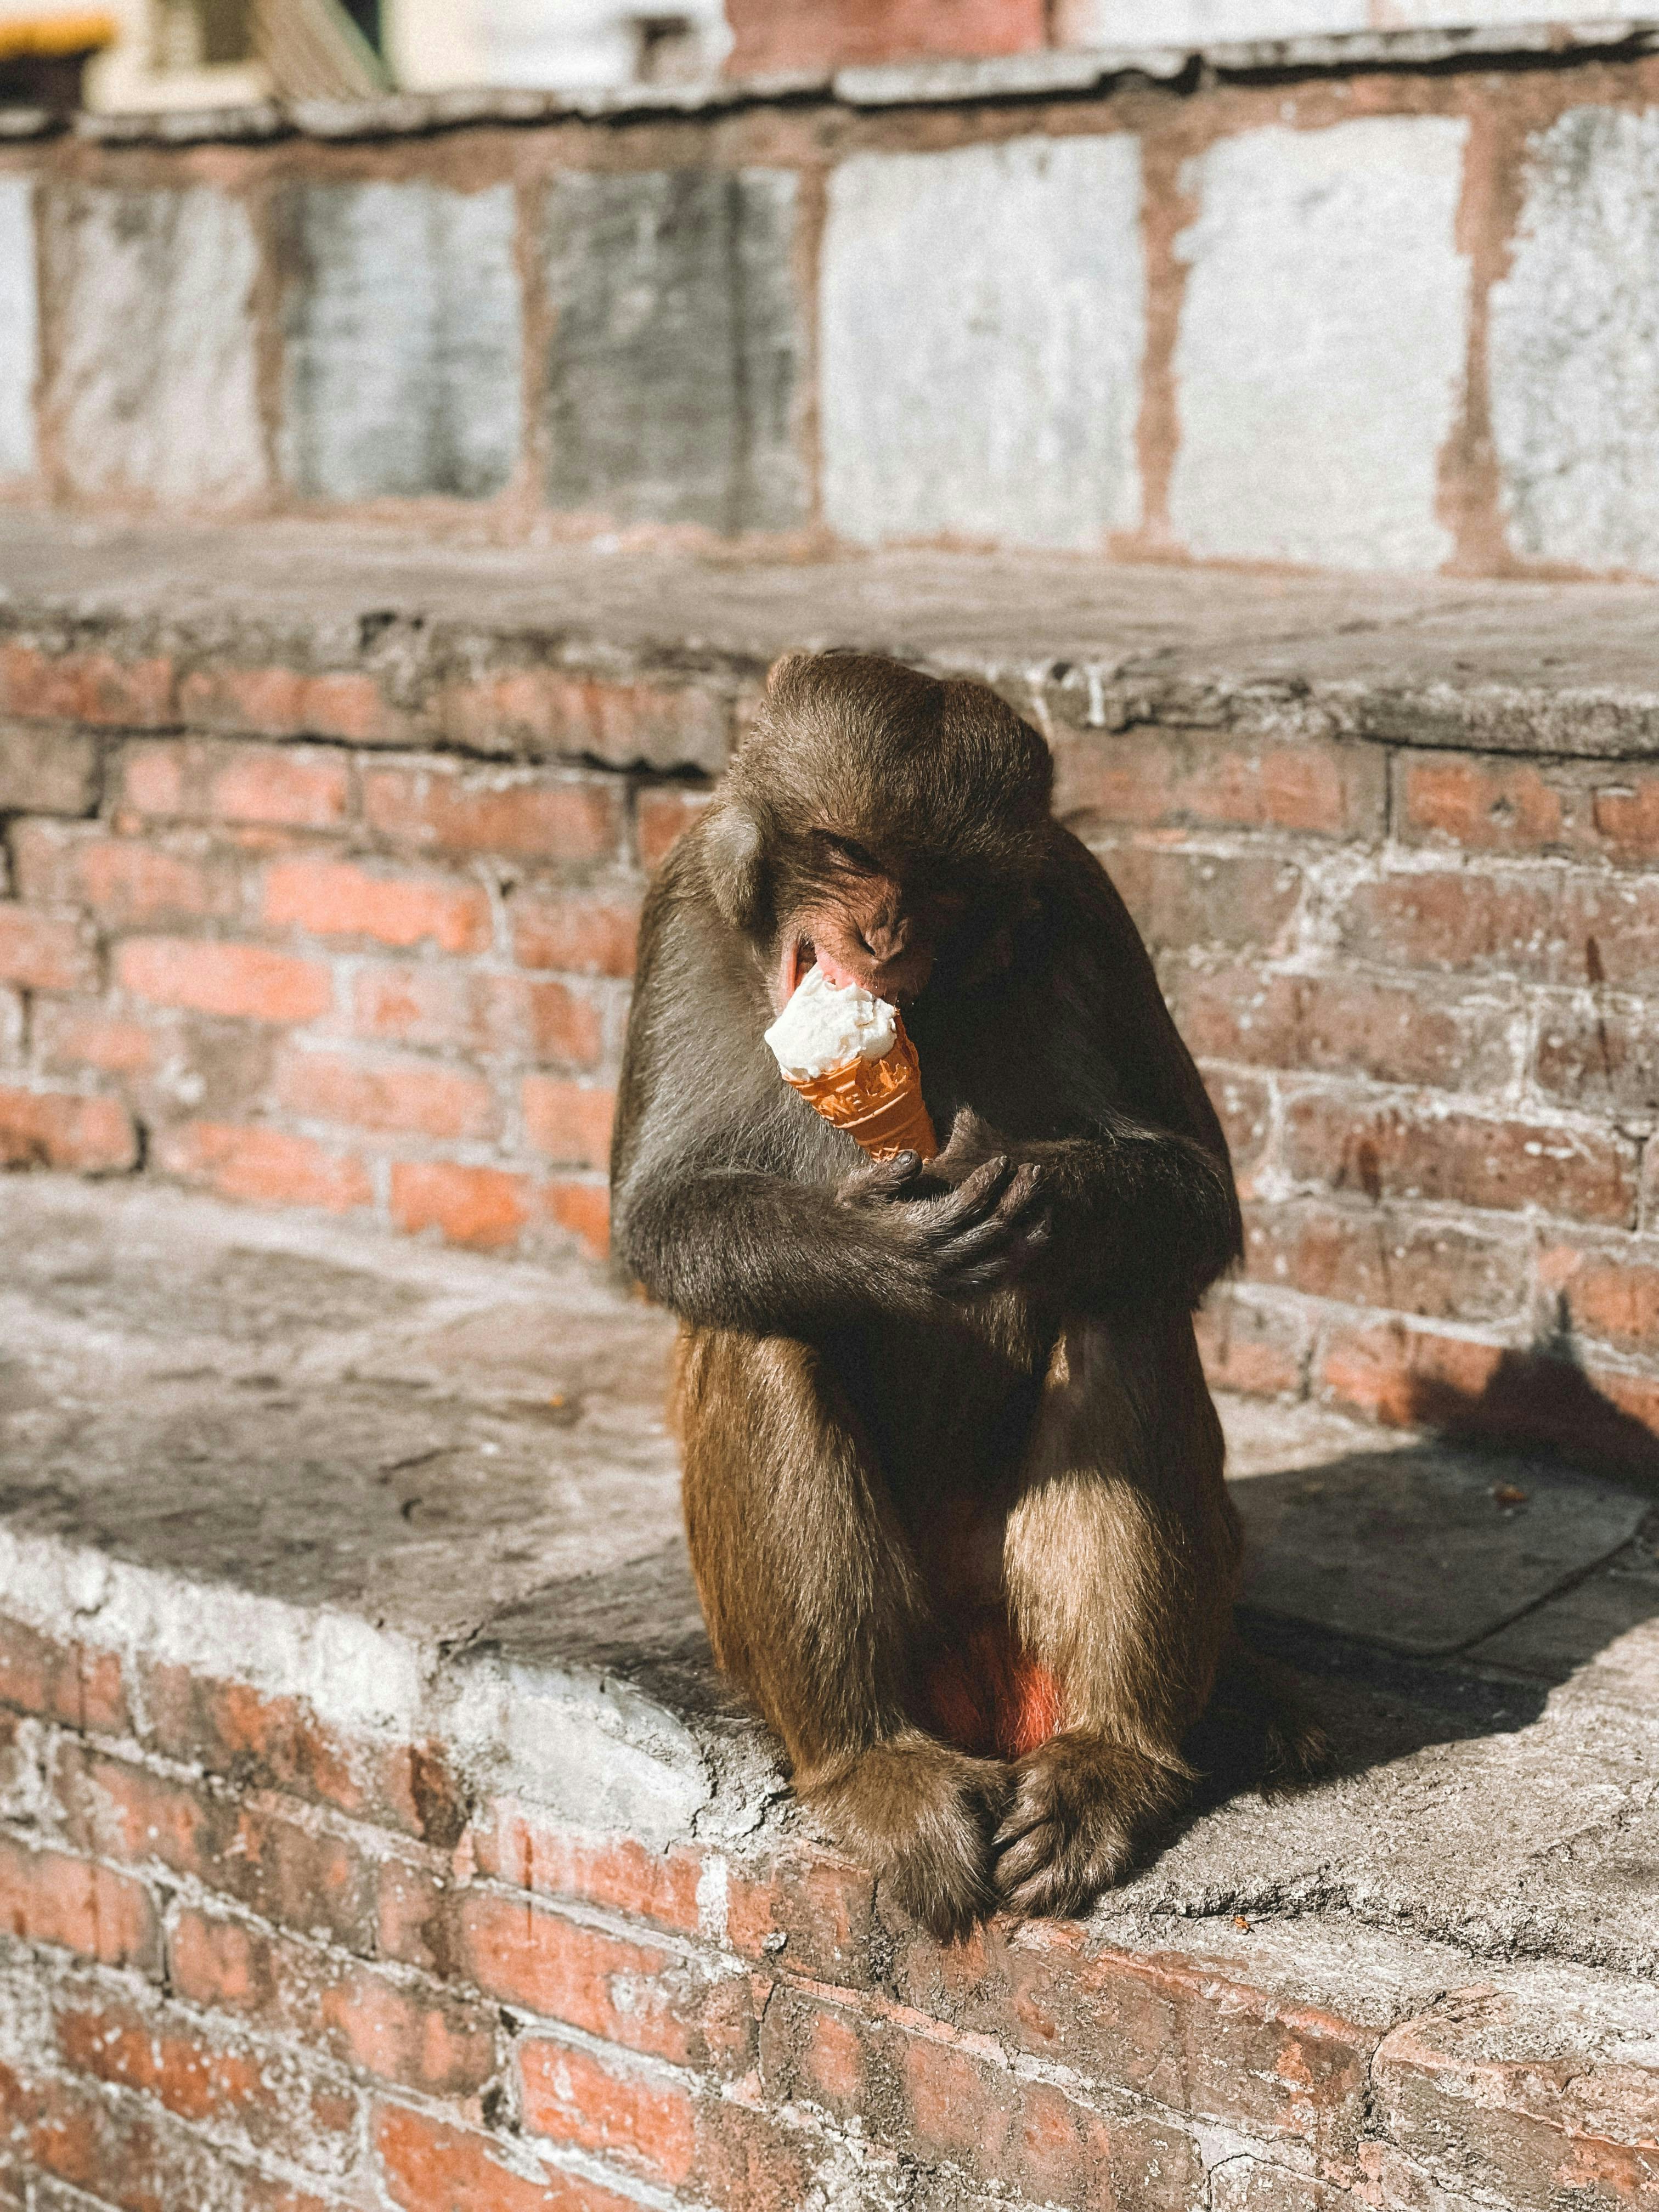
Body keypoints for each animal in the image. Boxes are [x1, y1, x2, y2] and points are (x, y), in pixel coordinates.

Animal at [610, 651, 1324, 1938]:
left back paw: (1112, 1756)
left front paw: (1046, 1192)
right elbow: (659, 1210)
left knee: (1121, 1301)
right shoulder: (682, 904)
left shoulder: (1085, 906)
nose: (881, 928)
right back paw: (870, 1760)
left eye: (938, 883)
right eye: (846, 851)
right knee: (763, 1325)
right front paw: (877, 1247)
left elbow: (1195, 1194)